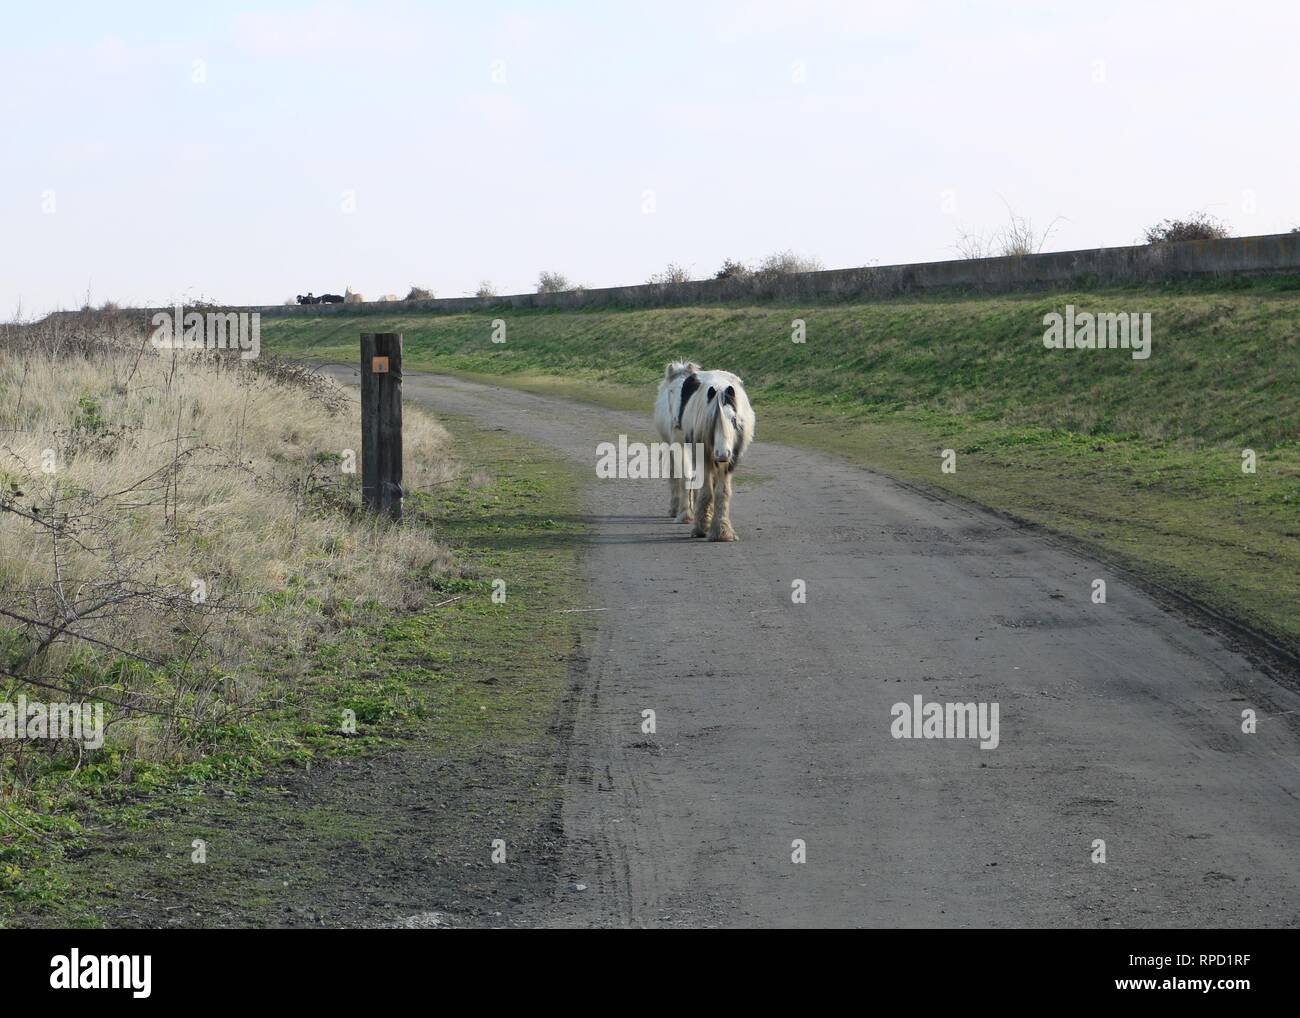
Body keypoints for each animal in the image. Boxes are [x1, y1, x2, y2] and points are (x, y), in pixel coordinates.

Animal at [653, 360, 701, 522]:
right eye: (671, 391)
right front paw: (685, 512)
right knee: (675, 474)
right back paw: (675, 507)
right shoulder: (678, 447)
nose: (676, 421)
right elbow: (684, 475)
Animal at [678, 369, 755, 542]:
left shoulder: (730, 463)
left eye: (733, 419)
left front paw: (722, 531)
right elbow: (707, 492)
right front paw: (701, 527)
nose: (722, 454)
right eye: (712, 419)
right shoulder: (704, 459)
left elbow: (722, 493)